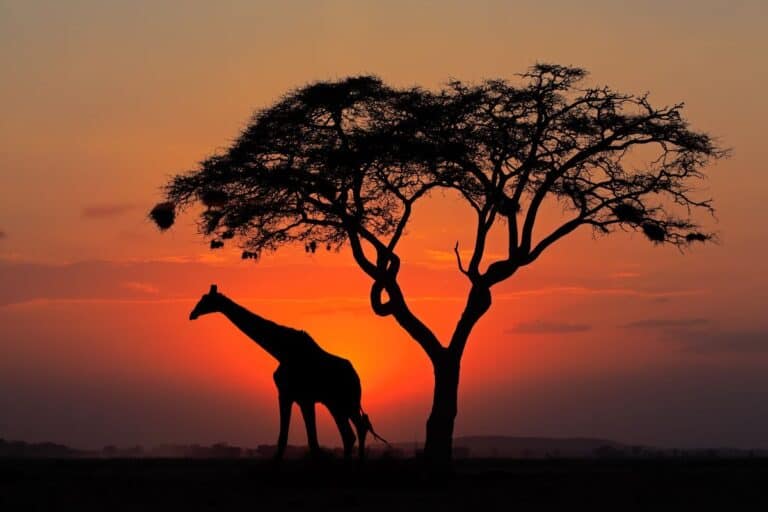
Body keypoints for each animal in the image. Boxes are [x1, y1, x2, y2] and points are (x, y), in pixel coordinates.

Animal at [189, 284, 385, 460]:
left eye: (205, 300)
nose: (192, 314)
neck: (281, 351)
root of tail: (357, 377)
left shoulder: (304, 398)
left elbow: (311, 441)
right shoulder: (288, 395)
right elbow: (286, 437)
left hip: (346, 401)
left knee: (357, 429)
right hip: (335, 404)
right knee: (351, 433)